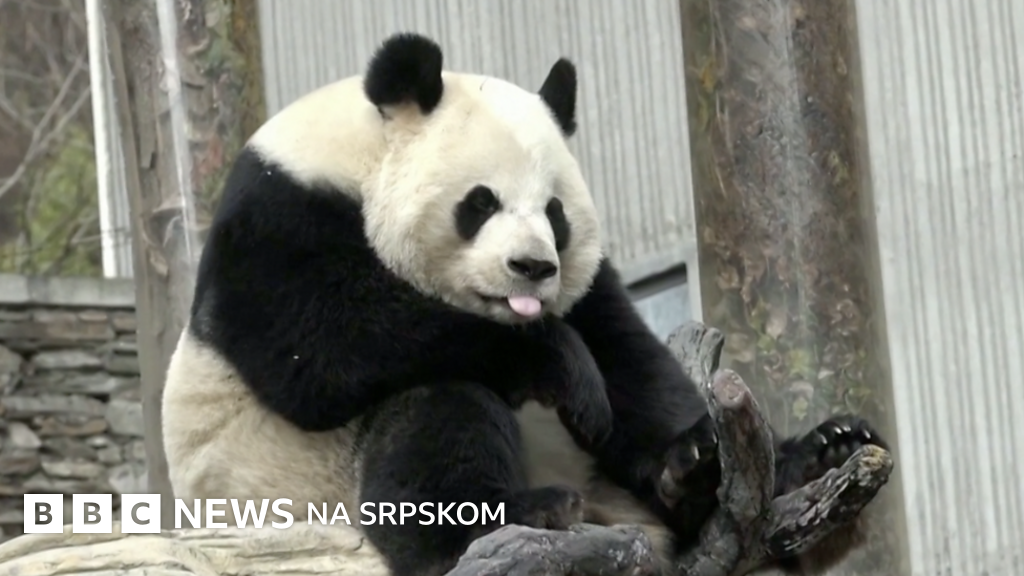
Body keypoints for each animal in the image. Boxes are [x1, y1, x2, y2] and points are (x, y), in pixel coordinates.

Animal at [162, 32, 888, 576]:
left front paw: (703, 455)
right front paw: (564, 368)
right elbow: (319, 348)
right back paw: (513, 516)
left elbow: (629, 357)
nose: (533, 268)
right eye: (480, 202)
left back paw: (776, 460)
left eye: (555, 214)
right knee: (435, 407)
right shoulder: (280, 214)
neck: (359, 151)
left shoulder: (586, 287)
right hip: (311, 497)